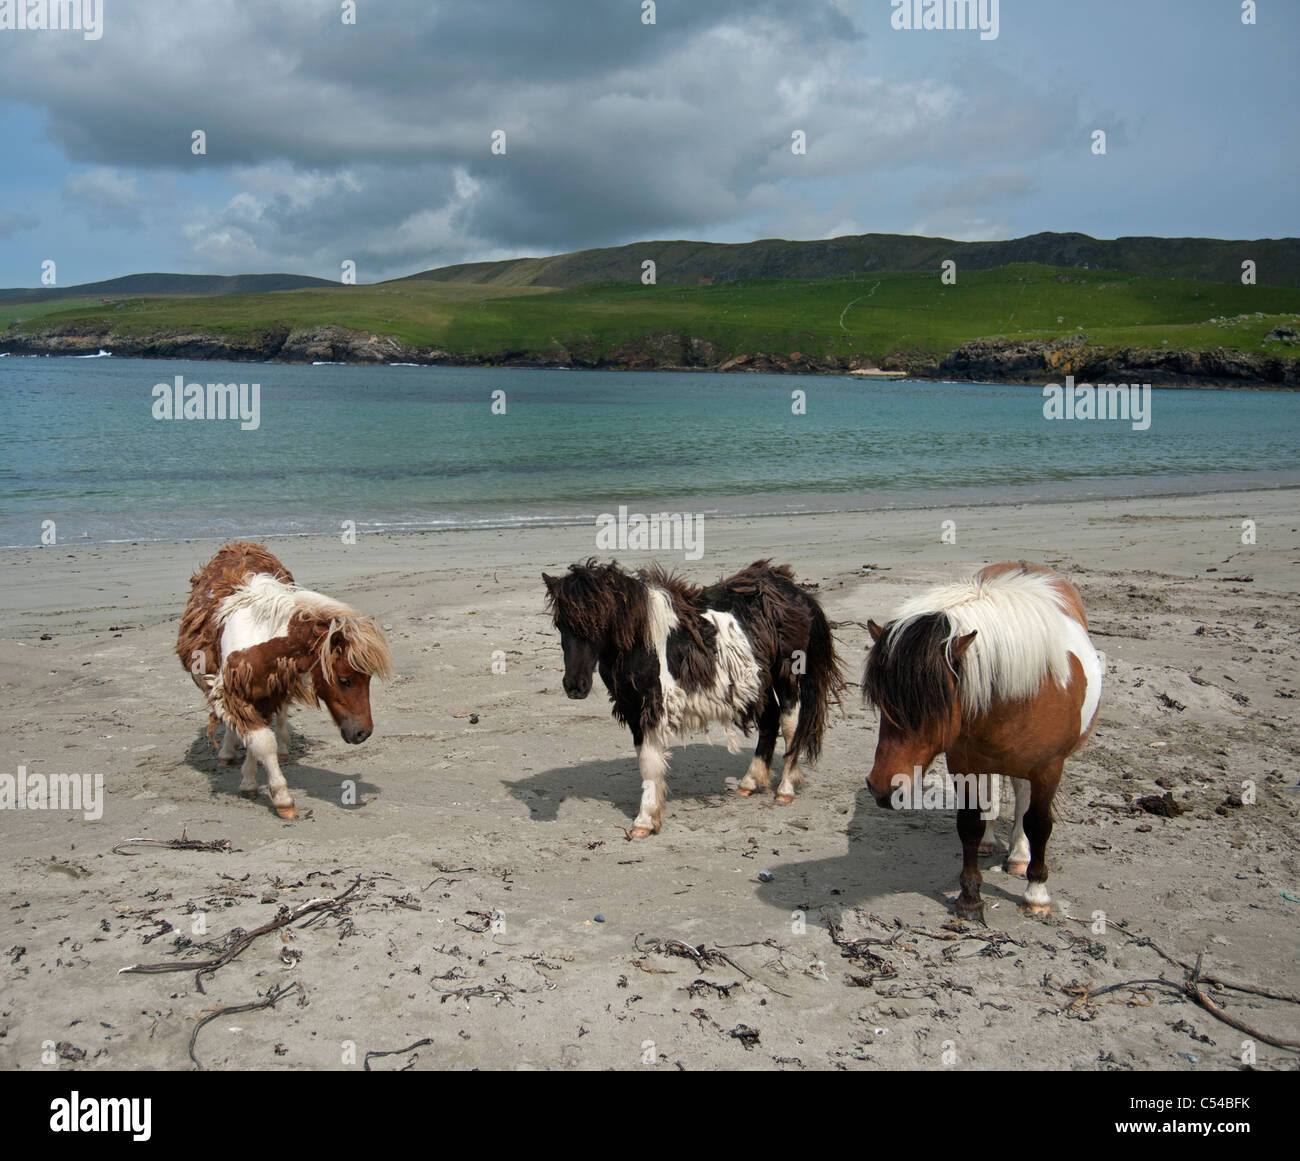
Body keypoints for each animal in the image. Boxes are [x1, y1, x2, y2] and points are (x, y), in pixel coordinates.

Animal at [176, 541, 392, 819]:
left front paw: (250, 781)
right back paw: (227, 752)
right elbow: (260, 740)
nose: (363, 733)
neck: (258, 636)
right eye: (345, 680)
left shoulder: (267, 692)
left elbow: (260, 737)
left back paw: (280, 750)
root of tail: (240, 545)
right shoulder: (234, 693)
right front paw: (282, 798)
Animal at [543, 558, 846, 837]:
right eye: (559, 625)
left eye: (599, 621)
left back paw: (785, 789)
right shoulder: (633, 707)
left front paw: (645, 821)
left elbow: (650, 762)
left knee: (790, 724)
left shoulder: (652, 705)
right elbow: (645, 759)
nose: (575, 686)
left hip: (786, 675)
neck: (642, 640)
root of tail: (794, 591)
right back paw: (749, 783)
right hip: (759, 681)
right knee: (770, 721)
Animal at [861, 561, 1101, 920]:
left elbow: (1039, 823)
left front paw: (1037, 892)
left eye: (934, 705)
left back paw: (1020, 855)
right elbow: (970, 823)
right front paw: (970, 896)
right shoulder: (965, 763)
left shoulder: (1048, 769)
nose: (881, 787)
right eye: (880, 702)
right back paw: (992, 842)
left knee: (1022, 796)